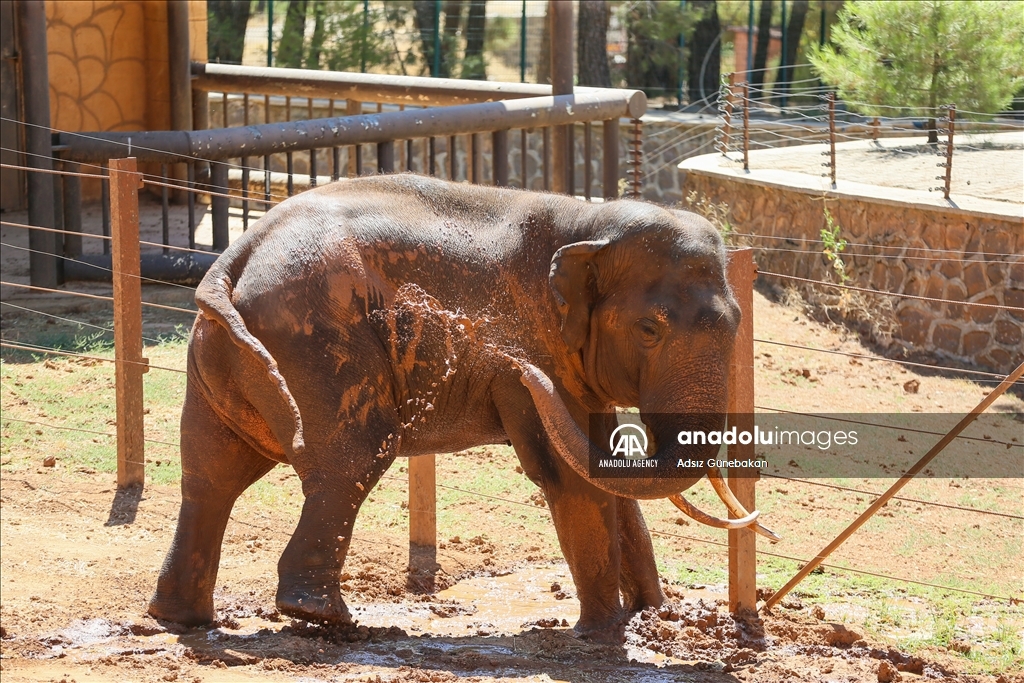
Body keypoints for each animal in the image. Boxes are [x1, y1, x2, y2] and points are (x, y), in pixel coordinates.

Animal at [148, 174, 773, 643]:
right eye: (649, 330)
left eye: (738, 324)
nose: (500, 353)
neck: (588, 224)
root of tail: (231, 259)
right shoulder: (538, 347)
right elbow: (569, 473)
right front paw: (602, 635)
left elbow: (601, 467)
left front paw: (654, 618)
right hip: (316, 341)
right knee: (351, 459)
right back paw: (328, 620)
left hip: (222, 354)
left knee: (210, 474)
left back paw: (182, 619)